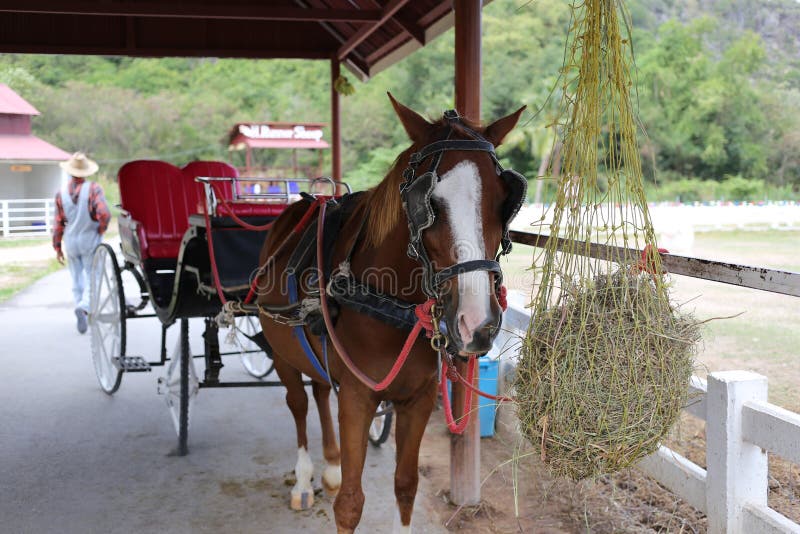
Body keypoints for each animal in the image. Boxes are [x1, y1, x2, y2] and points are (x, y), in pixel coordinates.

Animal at [256, 94, 526, 533]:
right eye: (428, 202)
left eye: (507, 199)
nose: (478, 325)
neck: (388, 306)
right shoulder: (357, 396)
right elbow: (350, 502)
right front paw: (332, 483)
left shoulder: (416, 399)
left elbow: (405, 486)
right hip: (281, 351)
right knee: (297, 403)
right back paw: (304, 479)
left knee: (319, 390)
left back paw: (330, 465)